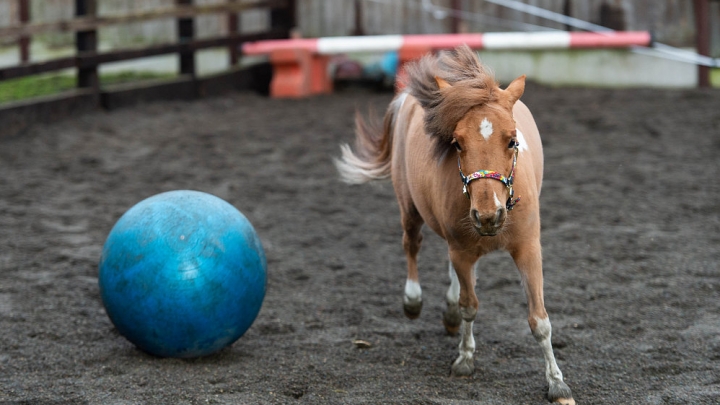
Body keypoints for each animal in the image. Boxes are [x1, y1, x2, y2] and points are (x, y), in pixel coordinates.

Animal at [334, 45, 574, 404]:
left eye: (512, 140)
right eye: (458, 142)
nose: (488, 215)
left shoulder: (528, 249)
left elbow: (539, 320)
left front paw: (557, 384)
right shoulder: (461, 250)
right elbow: (469, 306)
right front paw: (464, 360)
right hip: (409, 208)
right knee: (412, 245)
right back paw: (413, 300)